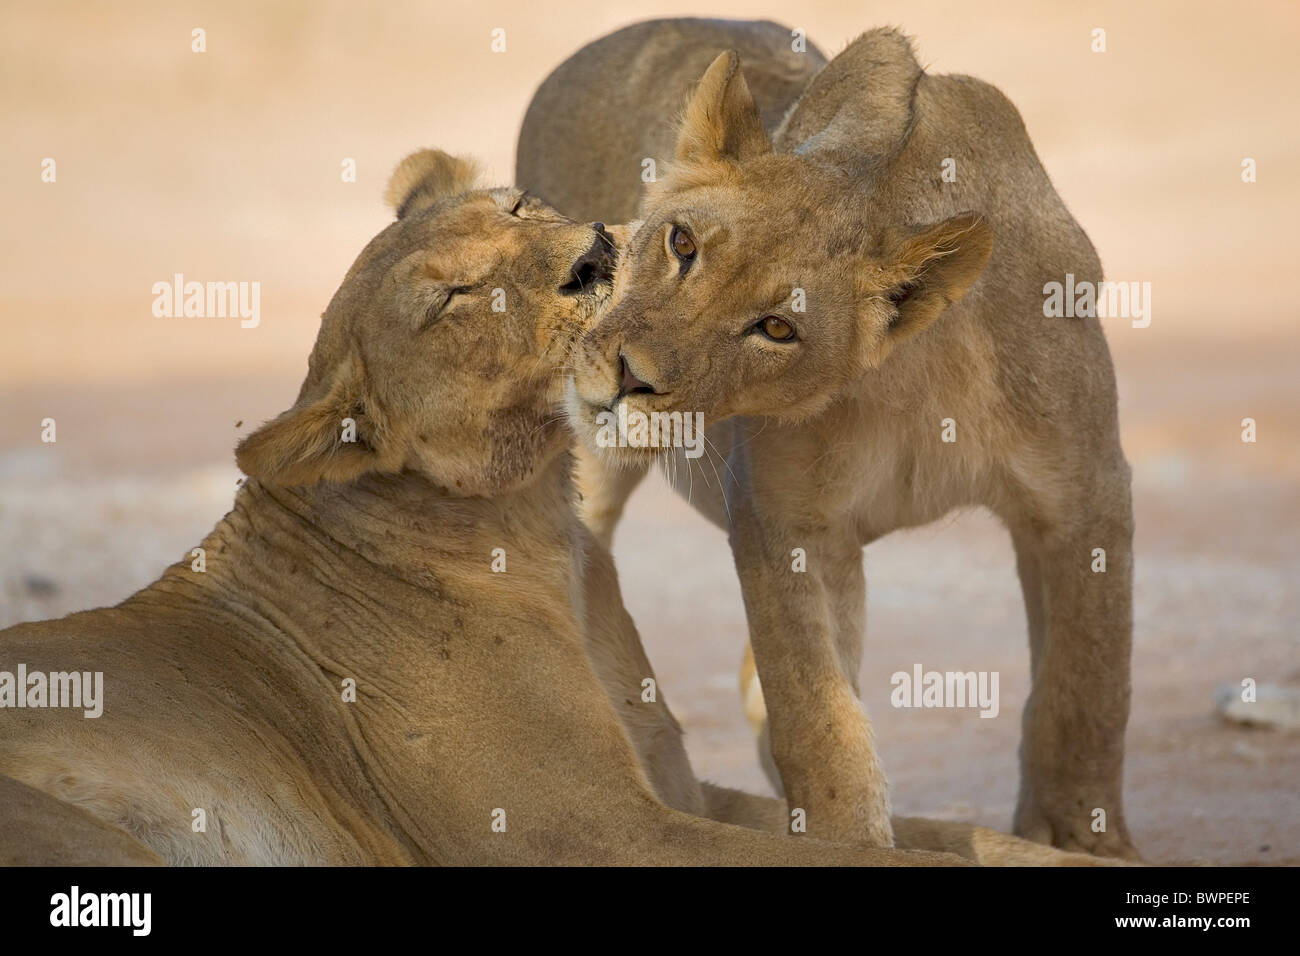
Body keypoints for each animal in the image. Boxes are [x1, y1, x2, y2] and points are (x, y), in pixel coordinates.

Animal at [519, 21, 1138, 858]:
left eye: (778, 328)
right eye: (681, 242)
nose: (627, 377)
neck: (908, 380)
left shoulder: (1083, 494)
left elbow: (1087, 686)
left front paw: (1084, 834)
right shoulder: (787, 522)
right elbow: (820, 721)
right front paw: (850, 837)